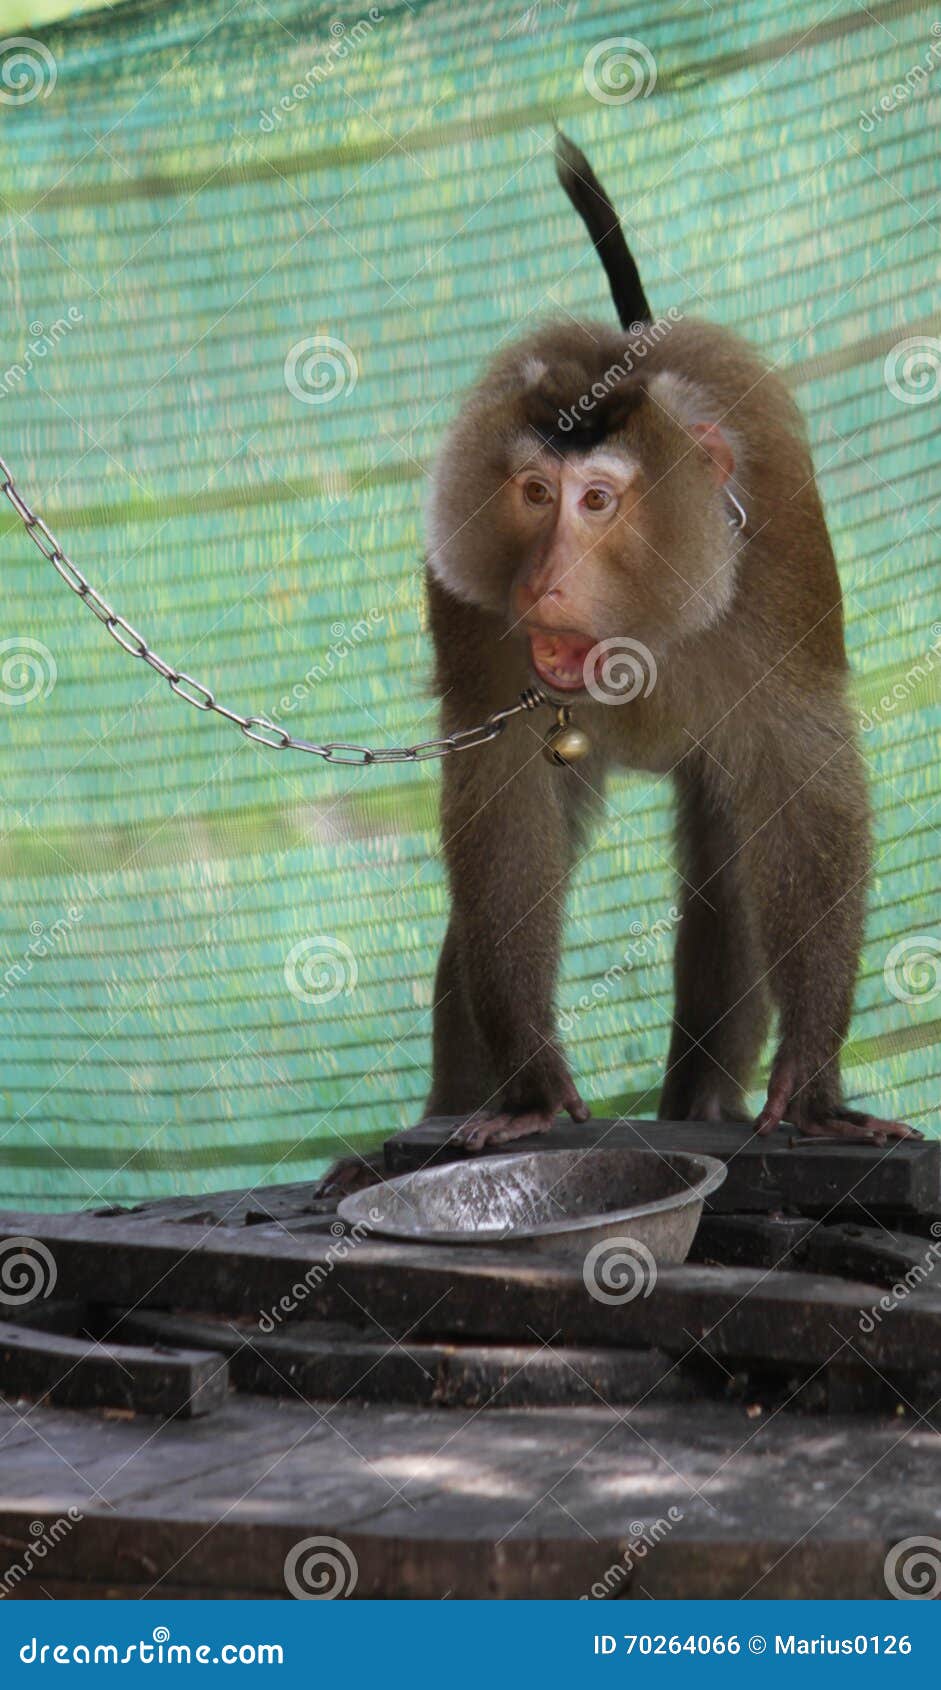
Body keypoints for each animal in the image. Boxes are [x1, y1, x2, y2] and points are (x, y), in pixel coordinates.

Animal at [420, 130, 920, 1156]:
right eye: (535, 494)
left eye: (597, 501)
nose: (542, 581)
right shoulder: (473, 614)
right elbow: (505, 806)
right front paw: (531, 1083)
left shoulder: (774, 577)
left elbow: (801, 787)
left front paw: (812, 1086)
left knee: (727, 867)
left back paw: (702, 1100)